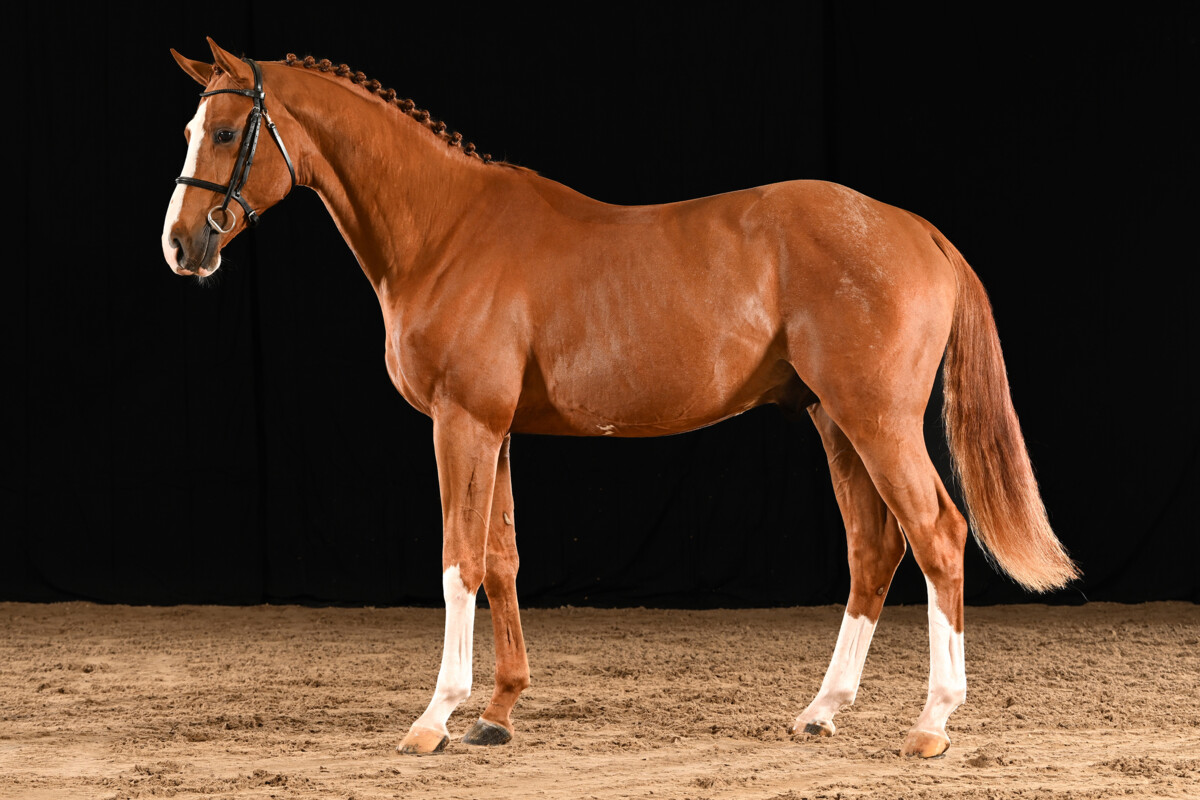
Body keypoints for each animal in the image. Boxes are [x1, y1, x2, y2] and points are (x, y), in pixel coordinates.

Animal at [161, 38, 1078, 759]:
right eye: (192, 129)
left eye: (230, 131)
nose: (181, 245)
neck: (447, 231)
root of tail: (917, 229)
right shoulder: (496, 429)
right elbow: (502, 557)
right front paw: (499, 710)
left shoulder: (463, 424)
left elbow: (460, 561)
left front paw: (435, 716)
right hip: (835, 422)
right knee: (874, 549)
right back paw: (823, 709)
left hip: (876, 421)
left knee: (936, 536)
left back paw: (932, 722)